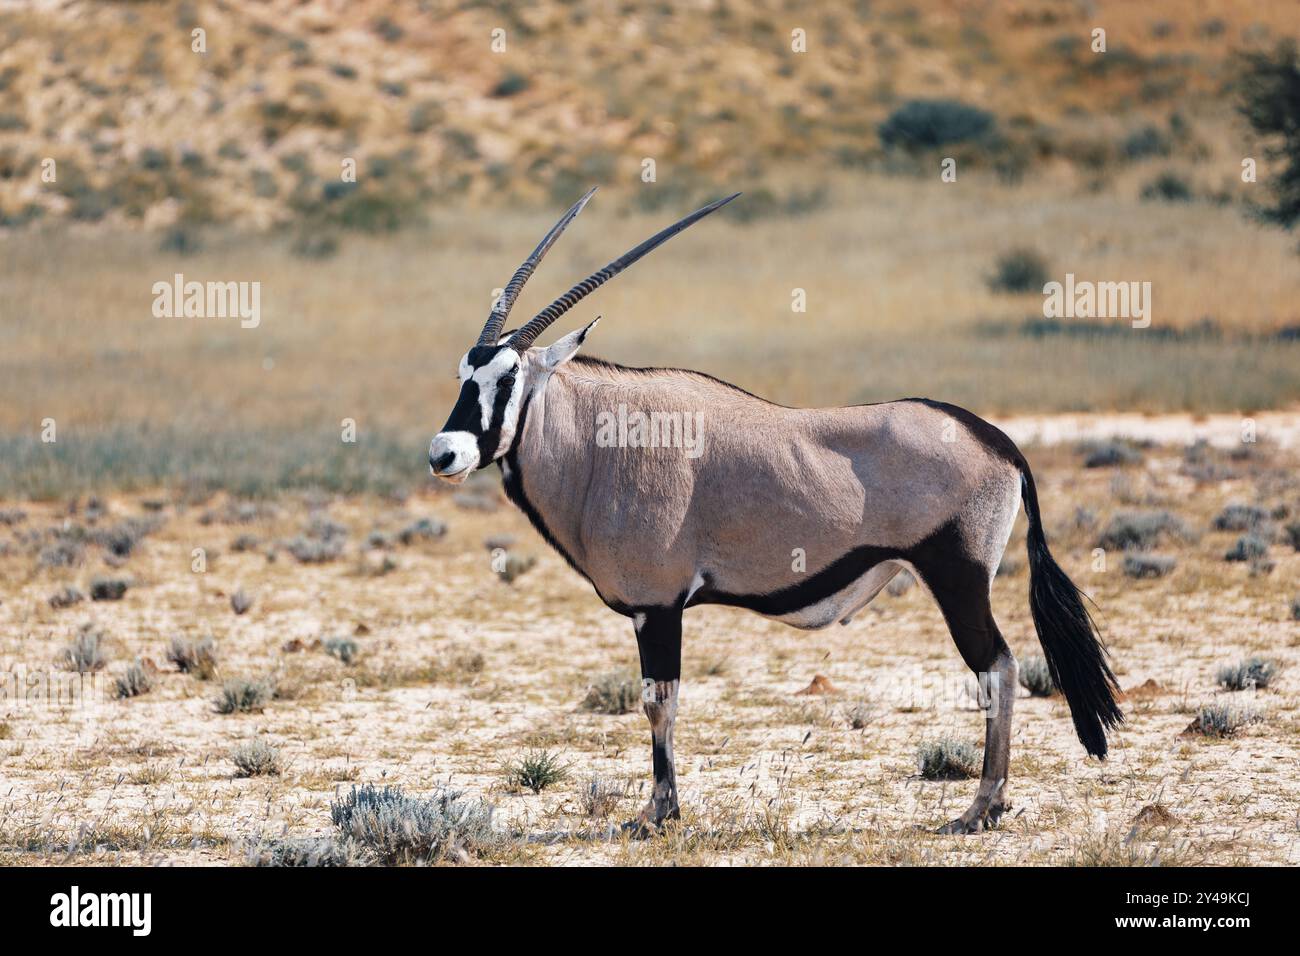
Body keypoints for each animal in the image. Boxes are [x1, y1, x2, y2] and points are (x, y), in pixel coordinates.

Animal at [428, 191, 1122, 834]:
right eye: (464, 373)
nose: (443, 453)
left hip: (957, 577)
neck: (603, 440)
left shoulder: (659, 607)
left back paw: (981, 807)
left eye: (508, 378)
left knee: (997, 668)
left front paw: (658, 814)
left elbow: (658, 703)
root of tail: (999, 442)